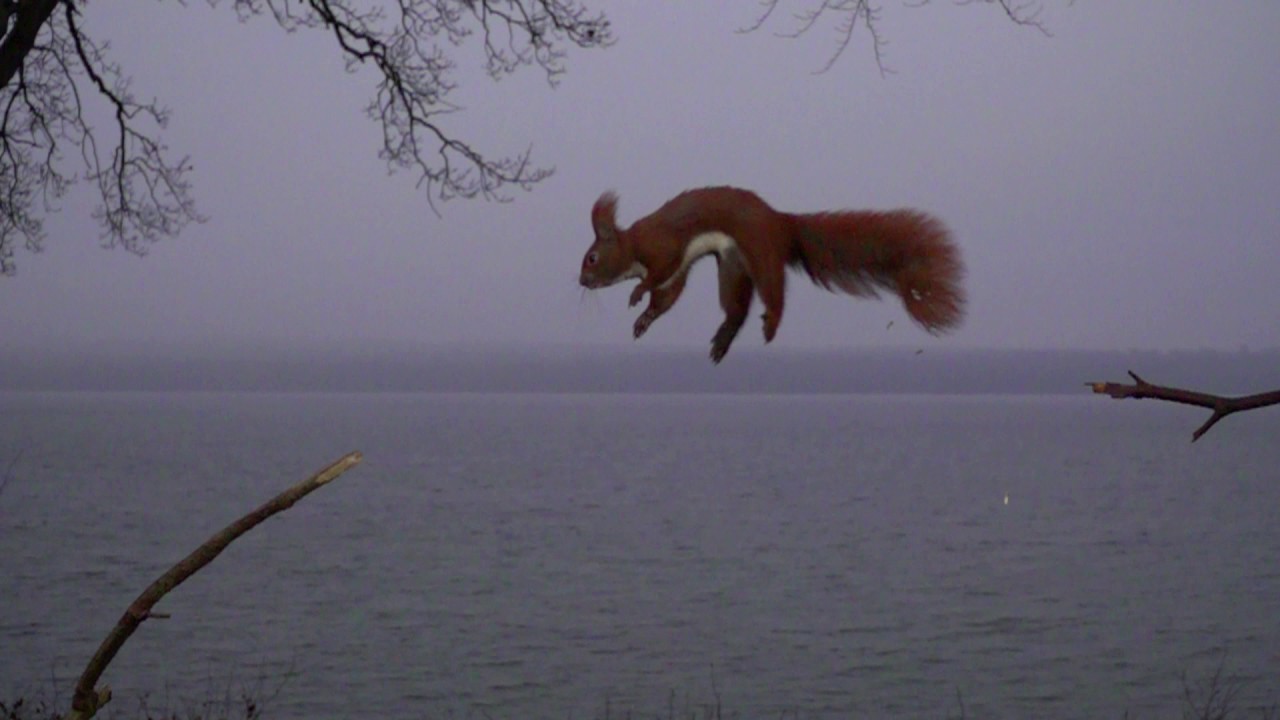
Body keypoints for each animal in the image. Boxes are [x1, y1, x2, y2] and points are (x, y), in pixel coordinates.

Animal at [578, 186, 965, 363]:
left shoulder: (664, 248)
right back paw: (723, 339)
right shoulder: (678, 271)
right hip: (732, 264)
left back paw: (771, 324)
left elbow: (660, 274)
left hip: (758, 250)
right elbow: (667, 295)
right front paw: (644, 318)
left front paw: (637, 292)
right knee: (737, 306)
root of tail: (782, 224)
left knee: (773, 289)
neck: (631, 245)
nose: (581, 282)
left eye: (592, 258)